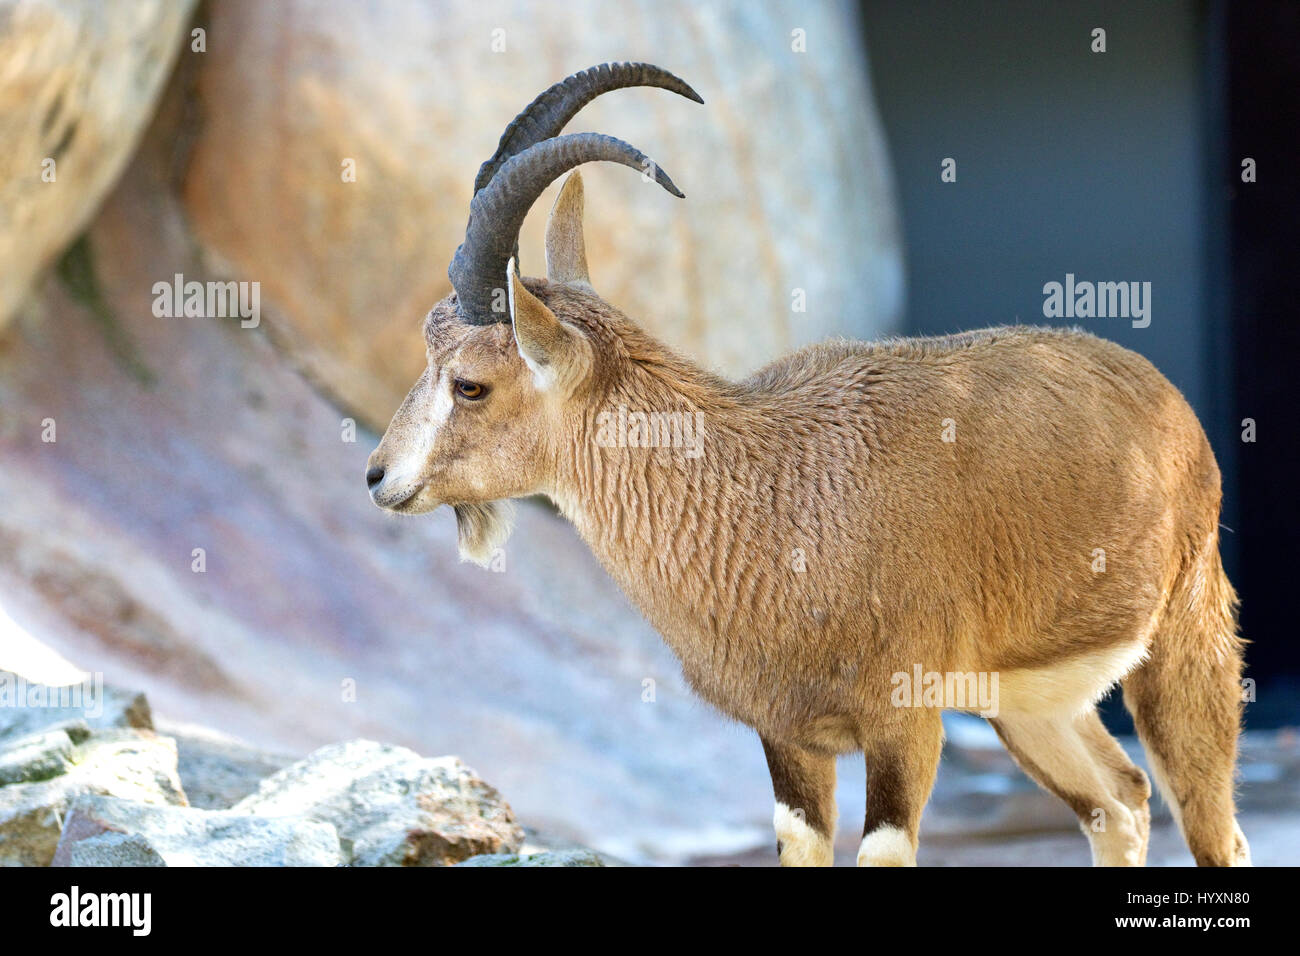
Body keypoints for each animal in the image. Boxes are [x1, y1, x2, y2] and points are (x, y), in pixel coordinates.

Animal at [366, 63, 1250, 867]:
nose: (379, 476)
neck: (772, 494)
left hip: (1185, 644)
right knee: (1119, 800)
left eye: (471, 383)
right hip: (1027, 704)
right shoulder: (789, 737)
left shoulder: (905, 723)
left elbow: (885, 847)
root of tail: (1167, 405)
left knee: (1212, 827)